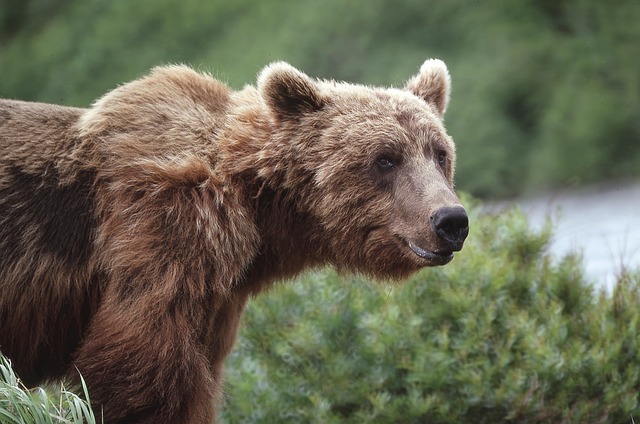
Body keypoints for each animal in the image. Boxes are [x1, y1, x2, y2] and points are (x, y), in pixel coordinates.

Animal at [0, 59, 468, 423]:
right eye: (386, 158)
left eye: (439, 153)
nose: (451, 220)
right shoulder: (167, 228)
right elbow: (142, 371)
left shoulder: (220, 302)